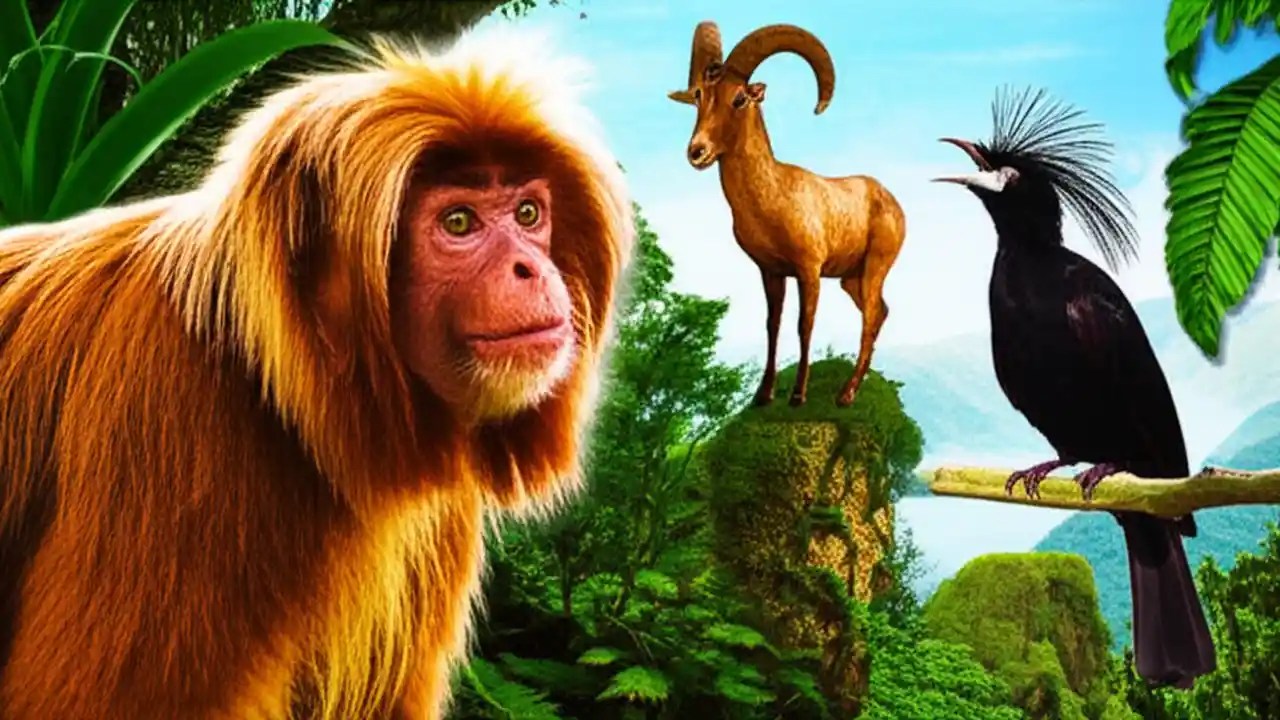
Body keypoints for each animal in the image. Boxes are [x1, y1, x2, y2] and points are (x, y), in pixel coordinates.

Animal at [668, 21, 907, 407]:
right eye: (700, 95)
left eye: (739, 98)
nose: (697, 151)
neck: (773, 197)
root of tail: (892, 201)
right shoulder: (771, 272)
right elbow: (773, 325)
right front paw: (763, 395)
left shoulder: (808, 272)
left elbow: (803, 325)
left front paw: (797, 395)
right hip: (850, 279)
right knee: (880, 312)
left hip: (875, 268)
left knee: (872, 315)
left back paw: (847, 394)